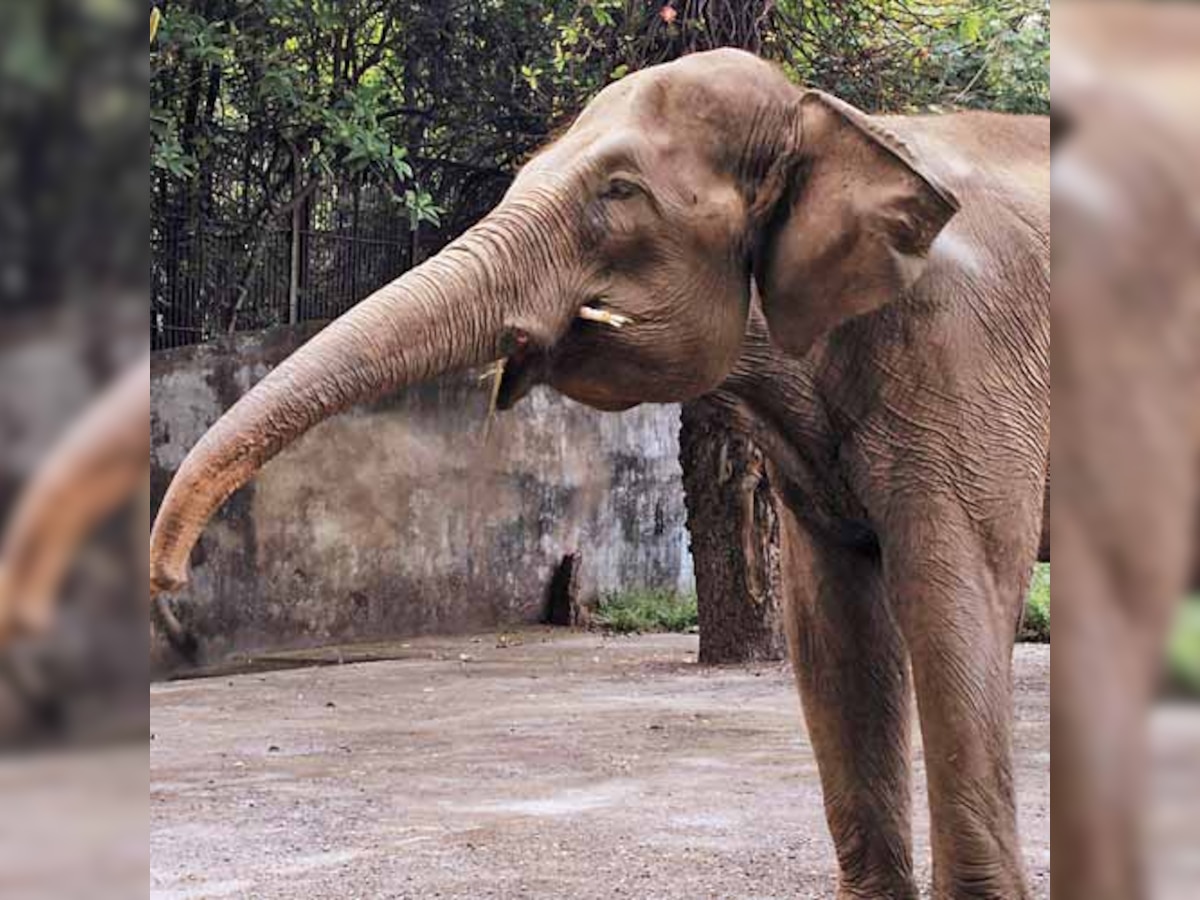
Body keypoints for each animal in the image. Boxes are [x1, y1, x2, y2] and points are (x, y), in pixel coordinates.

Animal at [150, 50, 1049, 899]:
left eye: (619, 191)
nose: (168, 580)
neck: (843, 120)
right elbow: (833, 632)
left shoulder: (966, 363)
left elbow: (952, 600)